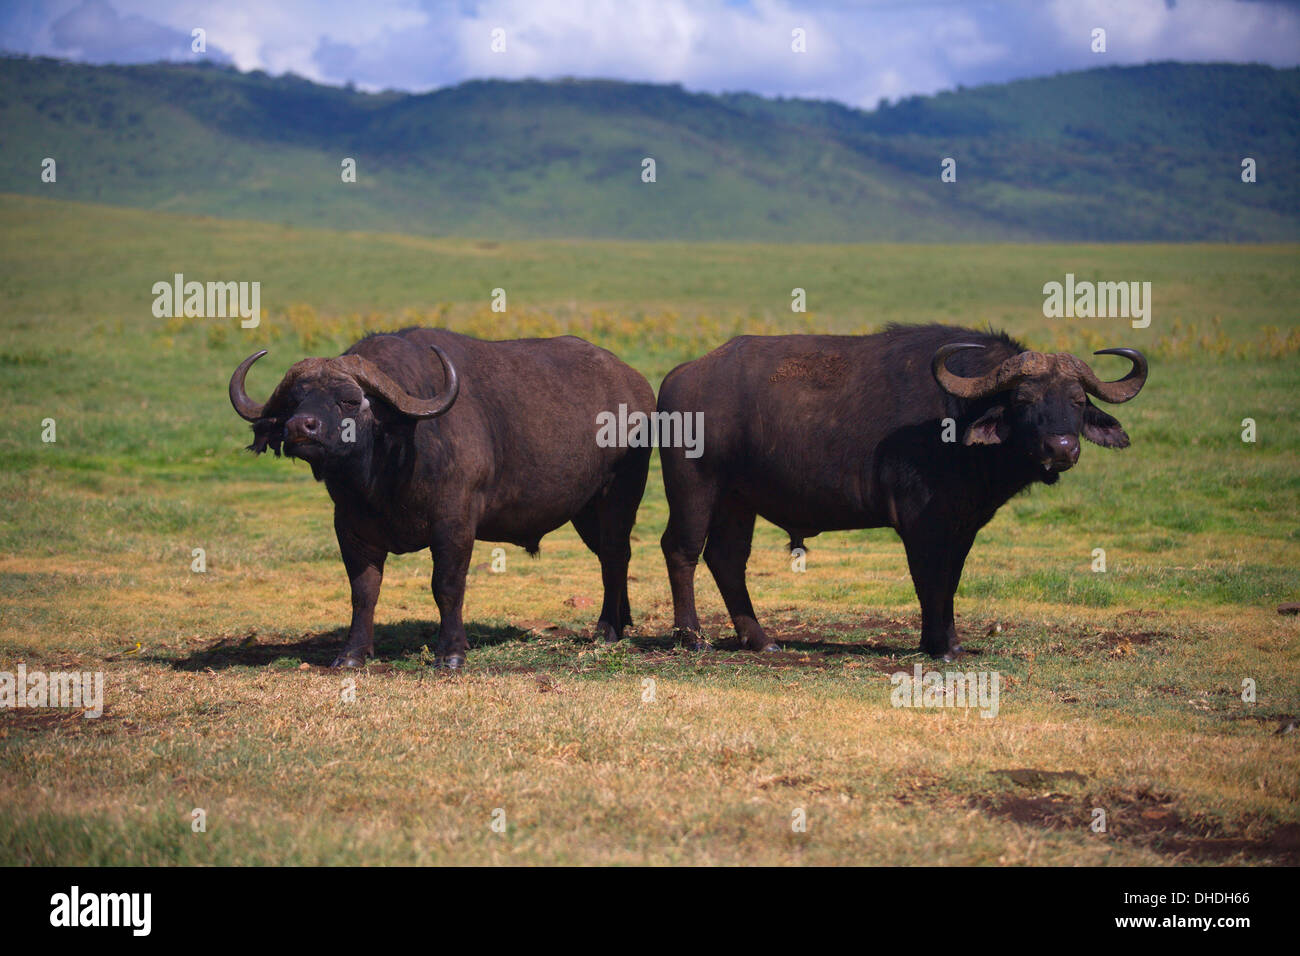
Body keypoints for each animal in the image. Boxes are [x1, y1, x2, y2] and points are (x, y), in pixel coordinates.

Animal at [229, 328, 655, 668]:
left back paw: (608, 629)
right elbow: (363, 591)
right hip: (584, 511)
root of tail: (636, 384)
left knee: (615, 555)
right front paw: (352, 654)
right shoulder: (350, 529)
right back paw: (622, 619)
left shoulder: (455, 524)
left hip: (618, 495)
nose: (300, 428)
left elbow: (447, 586)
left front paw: (450, 652)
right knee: (609, 557)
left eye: (349, 399)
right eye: (295, 401)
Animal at [657, 323, 1148, 659]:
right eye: (1024, 401)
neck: (956, 418)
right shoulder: (920, 521)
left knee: (727, 559)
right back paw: (692, 637)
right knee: (681, 549)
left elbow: (951, 579)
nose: (1061, 448)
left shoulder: (963, 525)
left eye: (1078, 401)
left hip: (738, 500)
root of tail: (680, 376)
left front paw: (949, 641)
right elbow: (928, 578)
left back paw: (760, 640)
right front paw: (939, 646)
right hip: (695, 485)